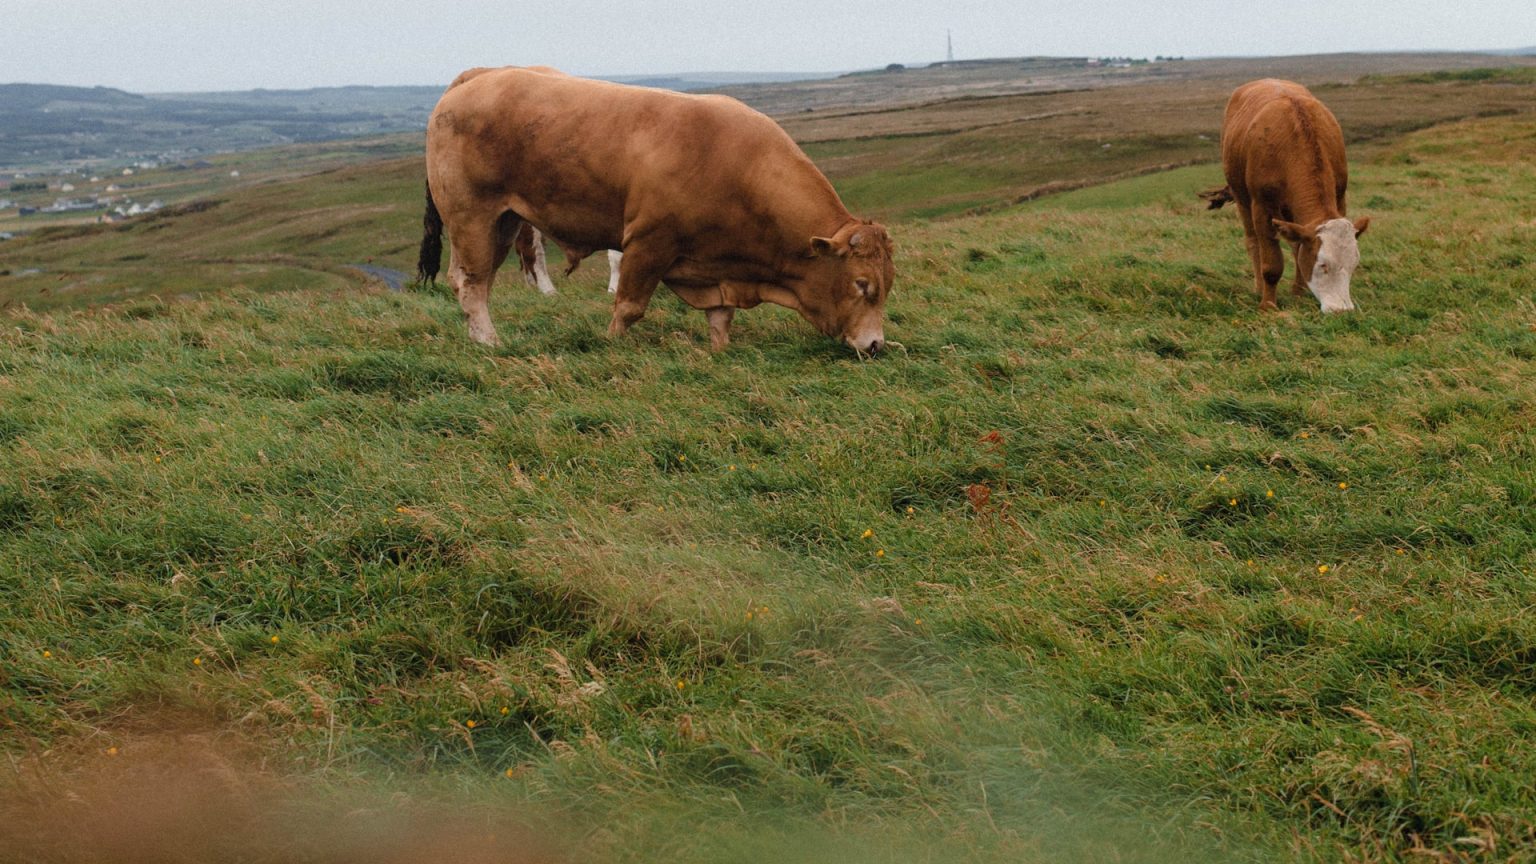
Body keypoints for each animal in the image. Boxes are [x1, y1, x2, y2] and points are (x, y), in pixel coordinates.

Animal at [417, 65, 895, 353]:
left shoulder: (716, 266)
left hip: (503, 222)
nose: (875, 345)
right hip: (474, 219)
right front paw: (612, 344)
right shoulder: (649, 242)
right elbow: (628, 306)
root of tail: (481, 75)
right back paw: (488, 342)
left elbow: (721, 315)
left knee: (479, 280)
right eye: (861, 284)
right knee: (470, 284)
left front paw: (719, 349)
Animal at [1200, 79, 1369, 313]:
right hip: (1242, 198)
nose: (1341, 310)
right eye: (1323, 264)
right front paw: (1268, 305)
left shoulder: (1339, 199)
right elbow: (1272, 264)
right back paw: (1258, 288)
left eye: (1354, 264)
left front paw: (1298, 294)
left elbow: (1299, 250)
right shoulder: (1262, 207)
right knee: (1252, 241)